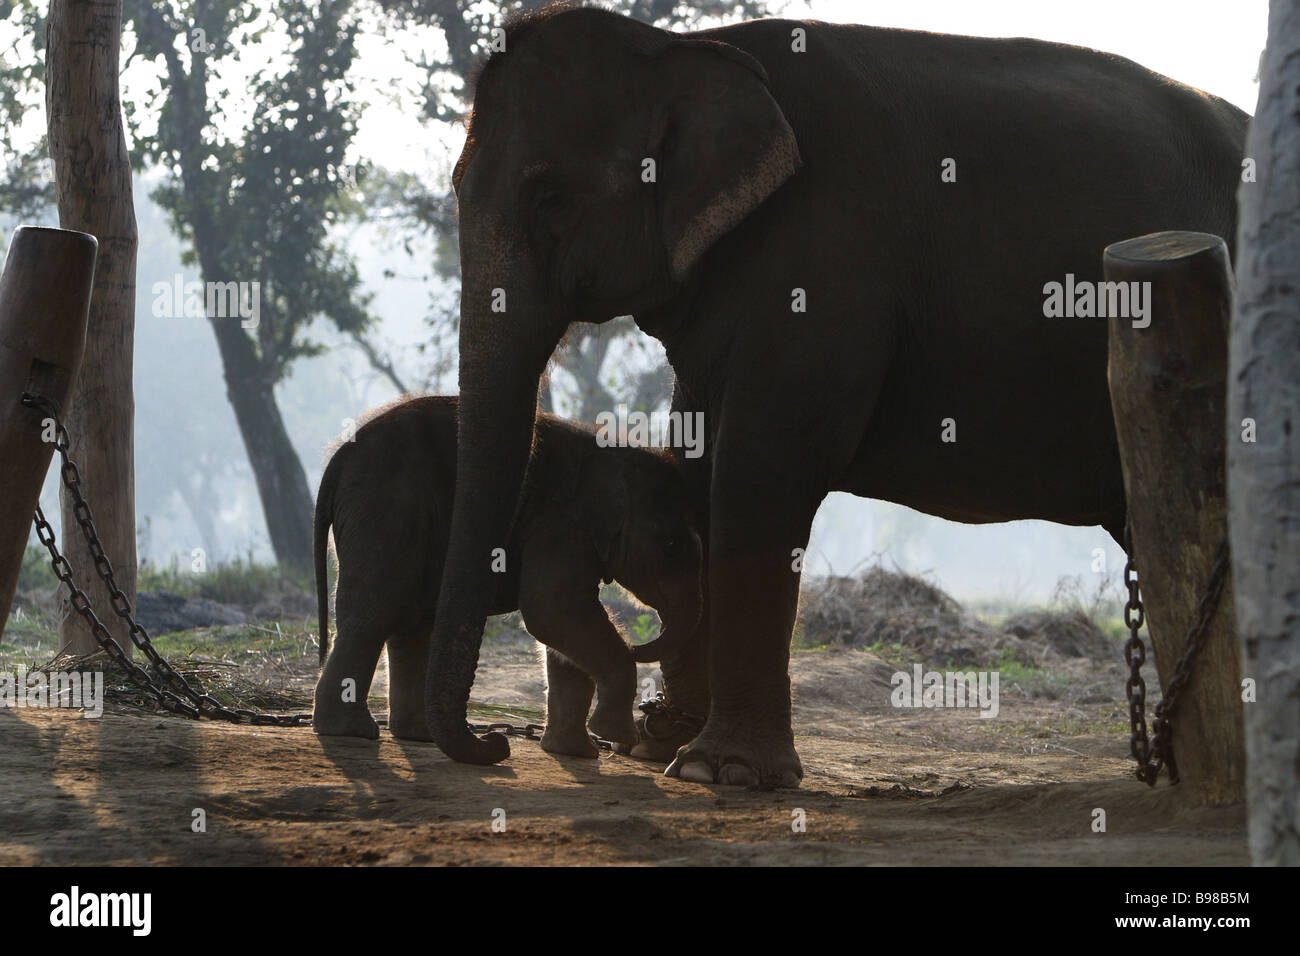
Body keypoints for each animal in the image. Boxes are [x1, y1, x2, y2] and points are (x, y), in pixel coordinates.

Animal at [311, 395, 703, 758]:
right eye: (671, 546)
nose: (636, 642)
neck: (614, 449)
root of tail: (337, 458)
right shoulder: (559, 526)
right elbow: (555, 613)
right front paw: (617, 737)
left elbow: (563, 632)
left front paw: (575, 752)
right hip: (387, 507)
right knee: (377, 614)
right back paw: (353, 731)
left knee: (413, 623)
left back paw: (418, 734)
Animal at [424, 5, 1250, 786]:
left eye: (550, 197)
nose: (496, 744)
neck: (691, 49)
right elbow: (697, 457)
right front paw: (666, 743)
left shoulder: (826, 254)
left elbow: (761, 464)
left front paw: (719, 770)